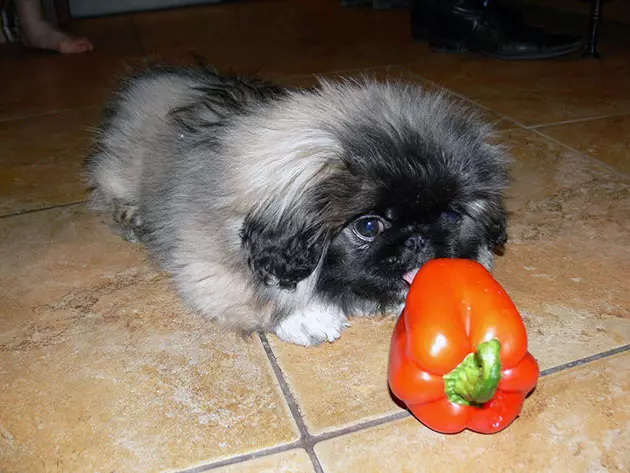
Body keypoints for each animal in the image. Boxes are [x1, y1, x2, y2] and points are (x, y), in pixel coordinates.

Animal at [84, 62, 512, 344]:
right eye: (368, 226)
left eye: (451, 215)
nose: (419, 238)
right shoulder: (202, 266)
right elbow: (253, 299)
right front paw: (306, 317)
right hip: (122, 168)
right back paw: (131, 216)